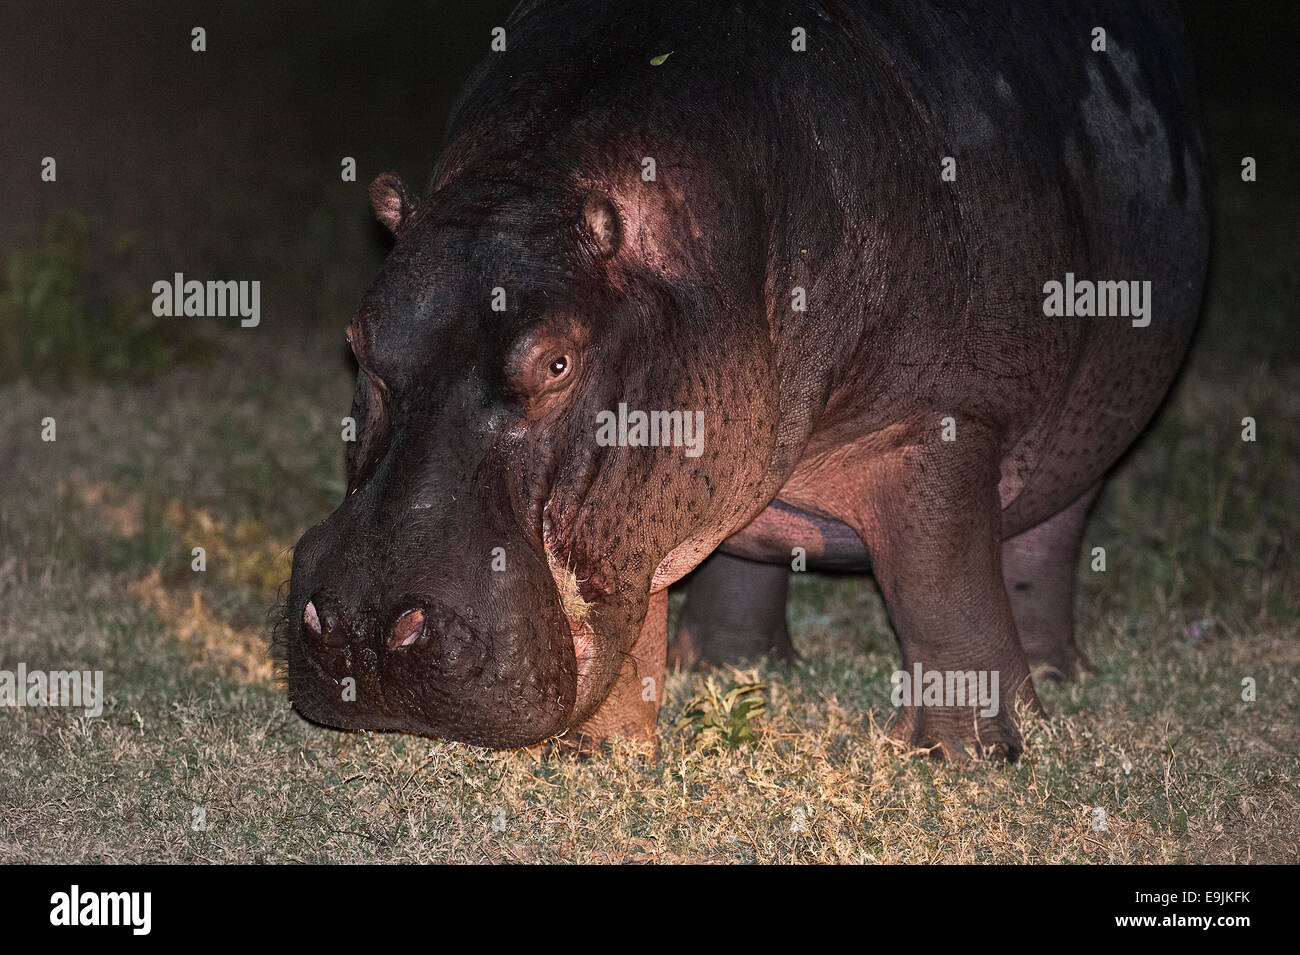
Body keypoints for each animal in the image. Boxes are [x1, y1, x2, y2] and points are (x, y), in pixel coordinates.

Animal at [283, 0, 1208, 759]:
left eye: (557, 361)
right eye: (358, 340)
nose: (363, 627)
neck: (535, 180)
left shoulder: (936, 419)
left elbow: (942, 587)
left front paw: (970, 759)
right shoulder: (648, 493)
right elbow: (631, 617)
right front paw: (595, 758)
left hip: (1087, 434)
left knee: (1042, 542)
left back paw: (1056, 677)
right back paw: (732, 666)